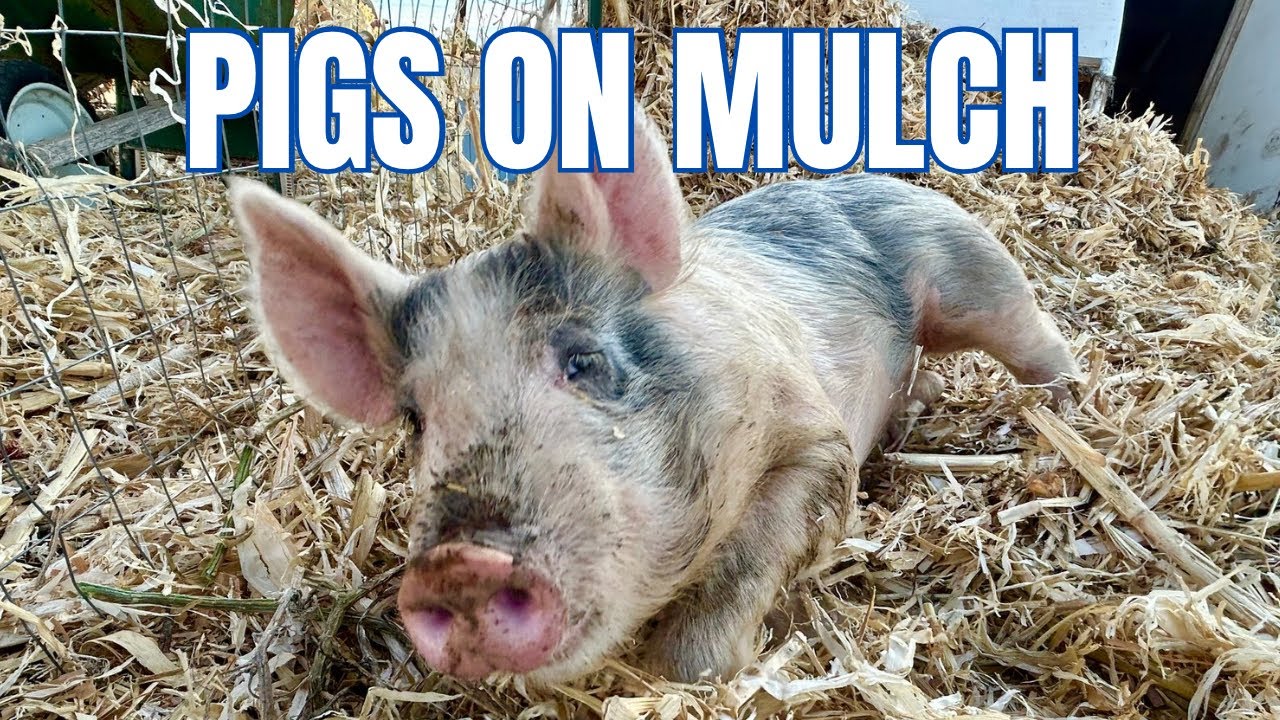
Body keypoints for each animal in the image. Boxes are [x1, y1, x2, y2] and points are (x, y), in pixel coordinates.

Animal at [227, 103, 1078, 686]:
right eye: (416, 419)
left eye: (583, 360)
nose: (459, 564)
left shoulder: (814, 433)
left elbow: (757, 547)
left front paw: (690, 673)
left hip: (975, 273)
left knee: (1040, 339)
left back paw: (1069, 407)